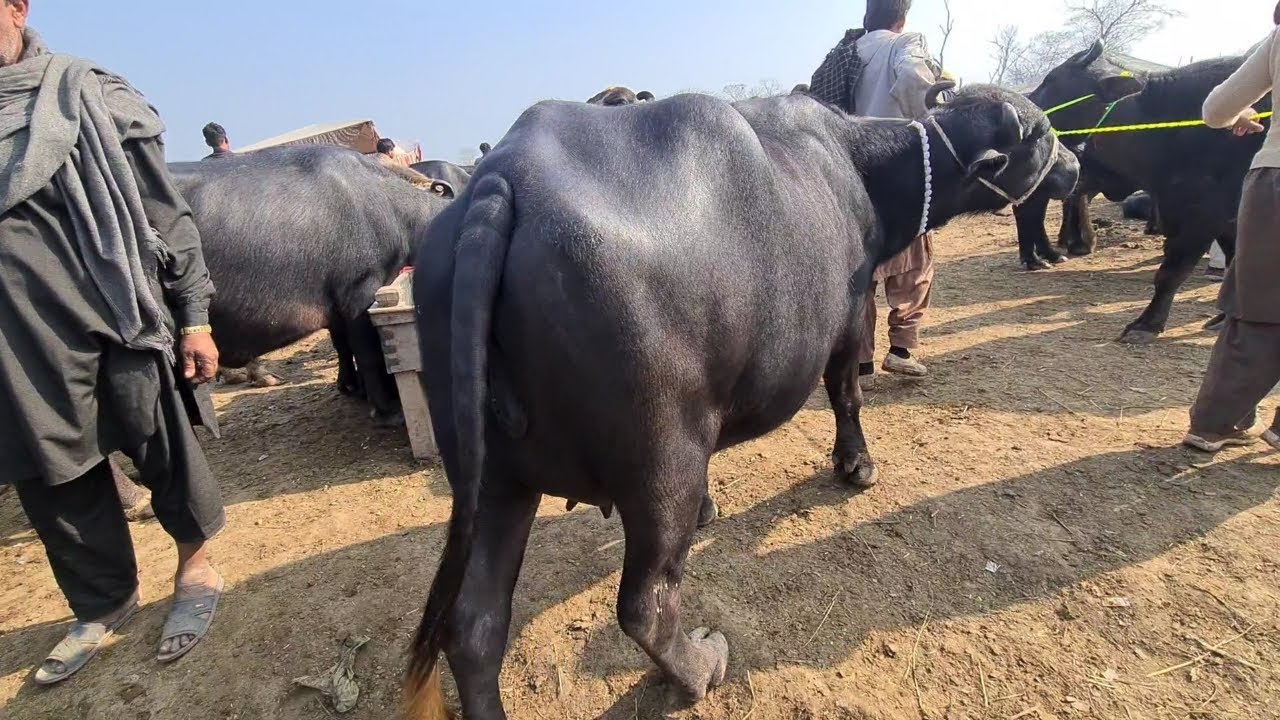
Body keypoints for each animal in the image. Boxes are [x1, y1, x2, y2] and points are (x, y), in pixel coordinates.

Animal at [168, 145, 451, 421]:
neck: (391, 211)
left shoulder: (336, 308)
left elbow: (343, 345)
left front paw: (350, 386)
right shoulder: (360, 295)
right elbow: (368, 354)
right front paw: (387, 410)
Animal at [401, 84, 1077, 719]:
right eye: (1041, 132)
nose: (1072, 162)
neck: (856, 167)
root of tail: (501, 181)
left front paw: (713, 507)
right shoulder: (850, 315)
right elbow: (847, 393)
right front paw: (856, 465)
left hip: (494, 479)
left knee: (475, 626)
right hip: (662, 458)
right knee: (644, 604)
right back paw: (702, 666)